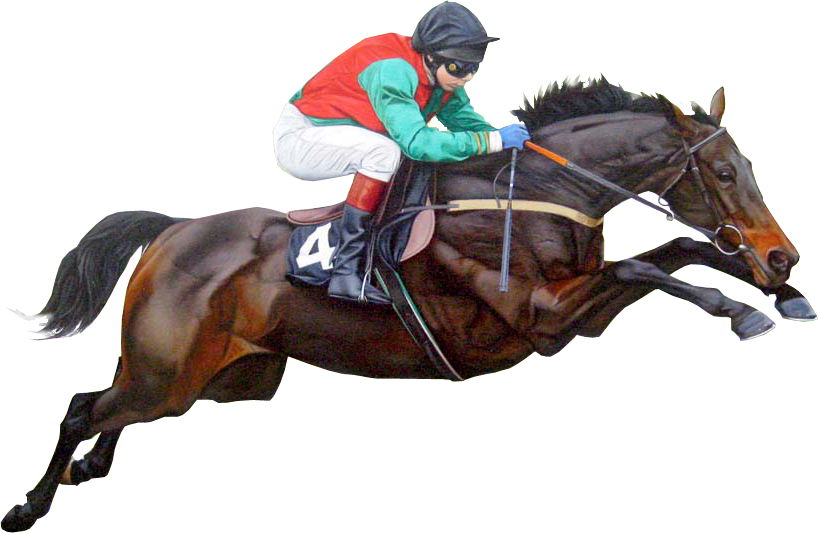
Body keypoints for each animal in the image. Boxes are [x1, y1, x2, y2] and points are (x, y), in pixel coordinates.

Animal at [3, 76, 815, 532]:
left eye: (745, 164)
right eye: (721, 171)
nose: (782, 253)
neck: (536, 193)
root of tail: (173, 230)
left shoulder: (569, 312)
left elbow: (674, 250)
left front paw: (781, 291)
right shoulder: (543, 318)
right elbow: (651, 262)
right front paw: (744, 306)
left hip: (223, 377)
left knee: (104, 403)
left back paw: (86, 468)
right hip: (170, 374)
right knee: (82, 407)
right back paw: (28, 505)